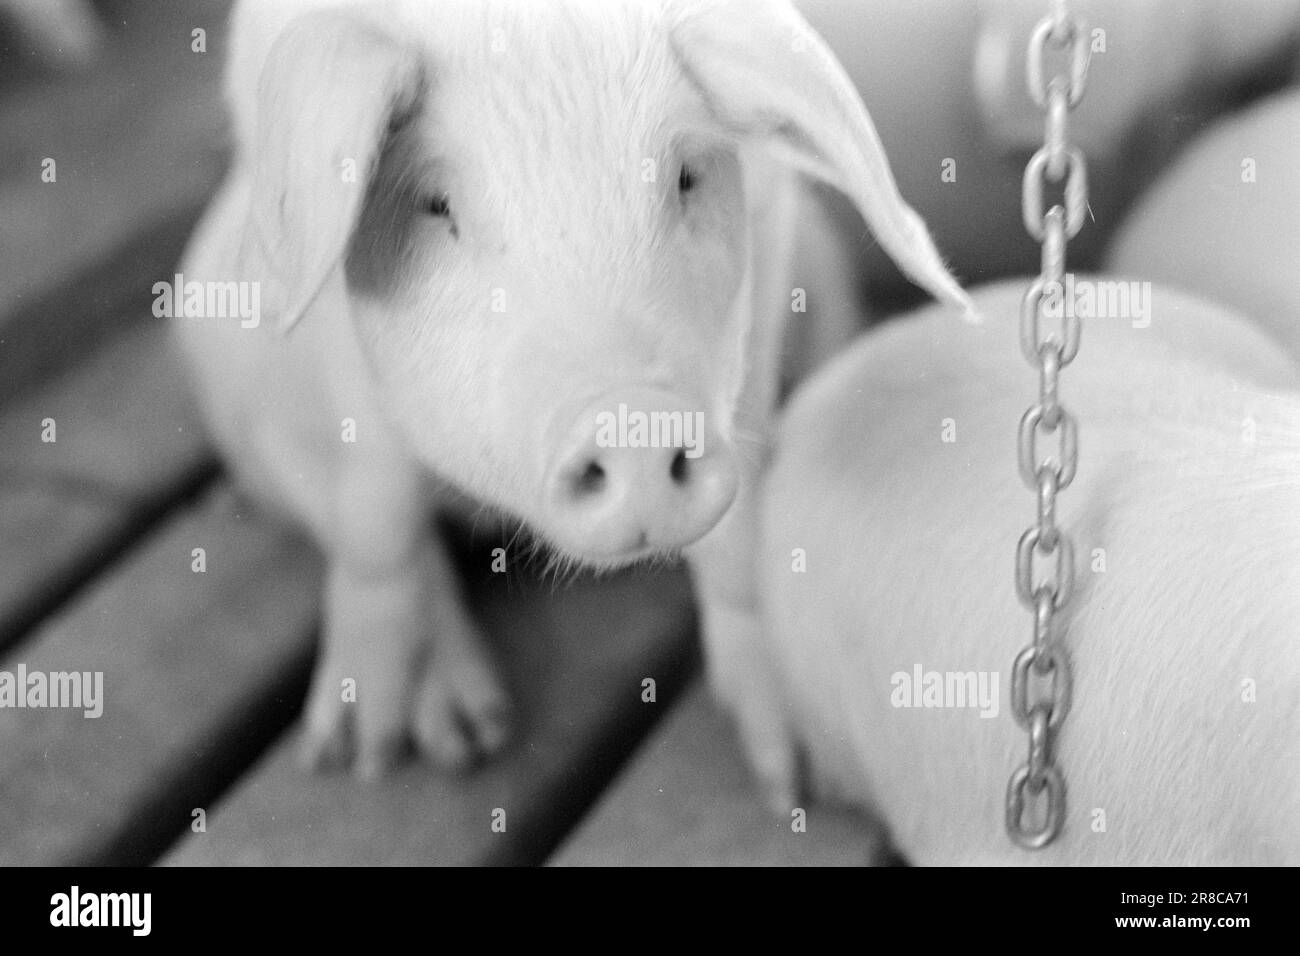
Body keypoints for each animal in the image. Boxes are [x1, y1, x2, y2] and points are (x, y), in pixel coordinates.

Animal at [171, 0, 971, 777]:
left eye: (686, 177)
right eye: (435, 204)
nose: (634, 422)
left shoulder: (770, 253)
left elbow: (738, 528)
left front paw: (787, 777)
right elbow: (379, 505)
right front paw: (365, 757)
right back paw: (458, 737)